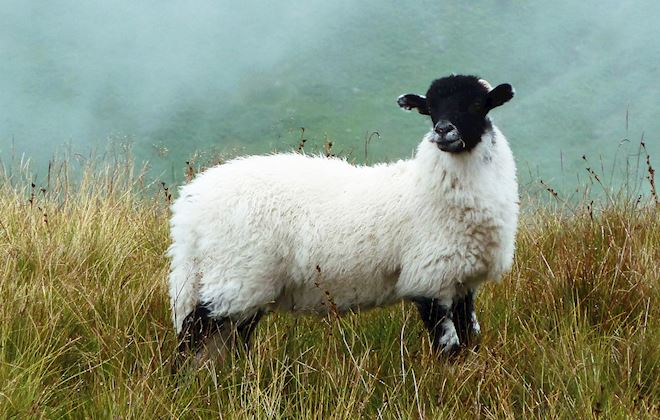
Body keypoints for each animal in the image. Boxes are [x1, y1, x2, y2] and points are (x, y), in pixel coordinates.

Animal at [168, 74, 518, 367]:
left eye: (478, 104)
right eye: (430, 108)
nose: (443, 131)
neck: (425, 184)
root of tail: (189, 208)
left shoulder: (463, 281)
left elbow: (471, 337)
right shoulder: (429, 277)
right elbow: (449, 347)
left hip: (246, 284)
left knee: (229, 336)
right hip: (234, 272)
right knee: (193, 331)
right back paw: (181, 382)